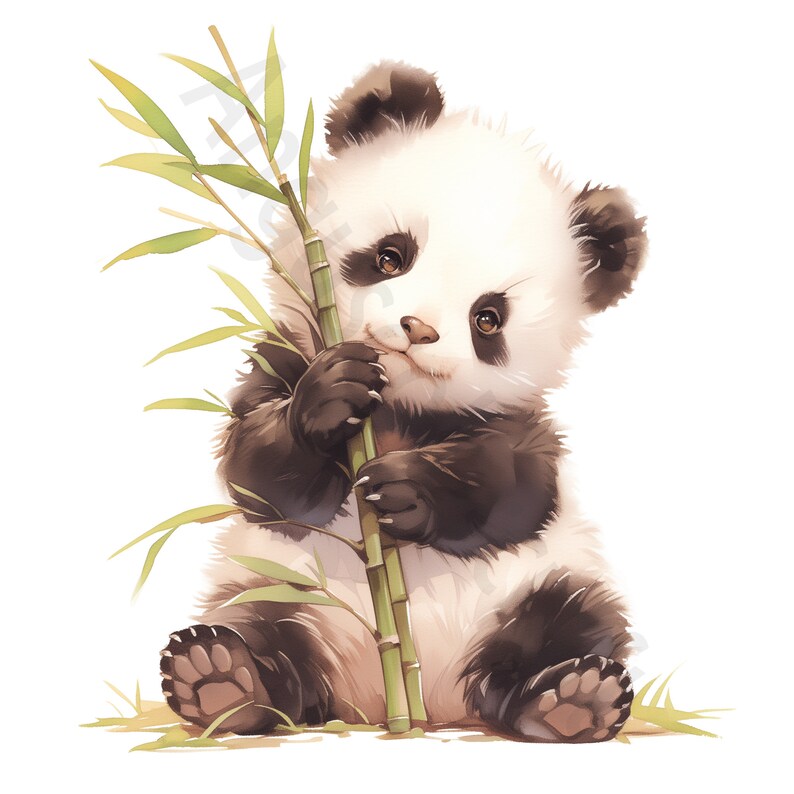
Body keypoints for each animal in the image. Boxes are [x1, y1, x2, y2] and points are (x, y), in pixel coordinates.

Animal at [159, 62, 648, 743]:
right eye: (391, 255)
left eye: (488, 317)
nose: (417, 329)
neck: (392, 408)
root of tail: (405, 702)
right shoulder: (281, 354)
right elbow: (256, 471)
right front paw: (327, 400)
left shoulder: (517, 421)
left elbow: (519, 486)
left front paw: (406, 490)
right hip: (277, 585)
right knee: (263, 627)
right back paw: (221, 680)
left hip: (537, 584)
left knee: (566, 619)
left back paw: (571, 700)